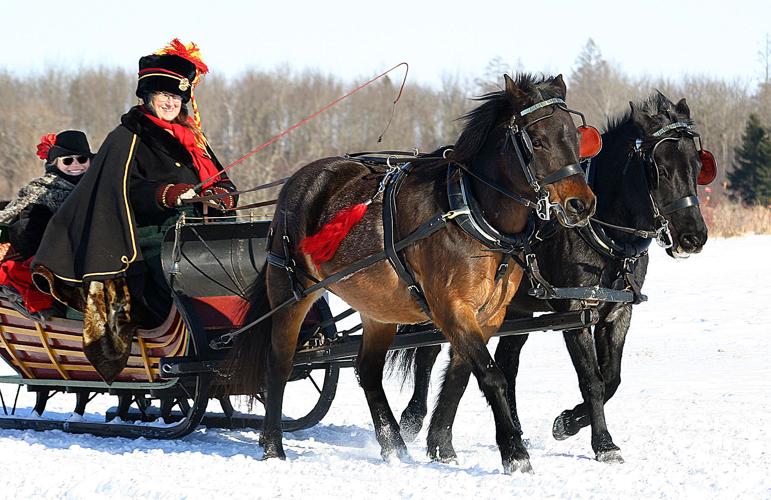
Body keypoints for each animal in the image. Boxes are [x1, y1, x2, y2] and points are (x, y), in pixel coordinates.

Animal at [228, 73, 599, 474]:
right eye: (538, 140)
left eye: (574, 136)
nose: (581, 204)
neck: (469, 212)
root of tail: (300, 180)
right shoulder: (451, 308)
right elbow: (491, 375)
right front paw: (515, 454)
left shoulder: (489, 315)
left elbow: (461, 377)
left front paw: (442, 447)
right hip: (291, 290)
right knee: (279, 364)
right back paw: (273, 446)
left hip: (377, 308)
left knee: (367, 370)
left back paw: (393, 444)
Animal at [391, 91, 715, 464]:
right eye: (659, 169)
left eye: (697, 167)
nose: (694, 237)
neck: (600, 231)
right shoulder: (575, 312)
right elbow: (592, 381)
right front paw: (603, 444)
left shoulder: (618, 312)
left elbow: (612, 379)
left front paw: (568, 422)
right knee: (428, 351)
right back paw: (413, 418)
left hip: (513, 309)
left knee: (503, 362)